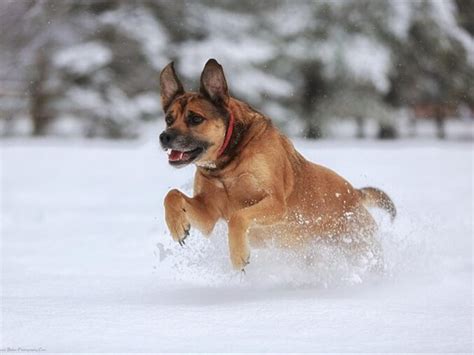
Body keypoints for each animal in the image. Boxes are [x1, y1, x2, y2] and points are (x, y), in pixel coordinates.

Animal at [159, 58, 396, 272]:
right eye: (169, 119)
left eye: (195, 119)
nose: (164, 137)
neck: (227, 163)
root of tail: (354, 194)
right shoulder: (209, 213)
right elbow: (171, 194)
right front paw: (177, 226)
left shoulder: (275, 202)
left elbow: (238, 217)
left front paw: (238, 255)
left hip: (357, 243)